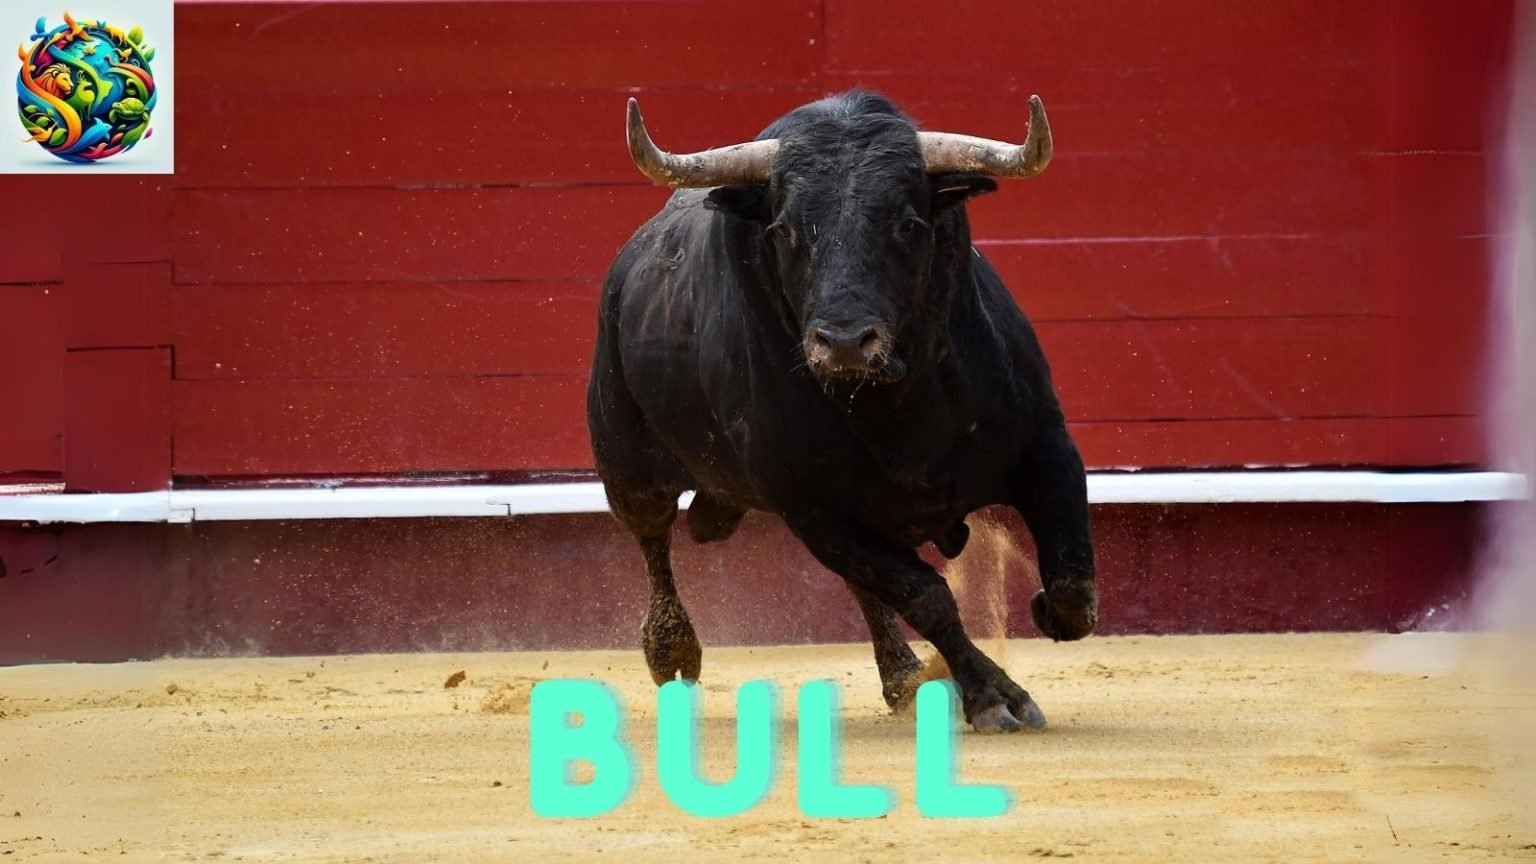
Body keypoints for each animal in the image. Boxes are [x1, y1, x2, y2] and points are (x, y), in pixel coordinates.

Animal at [587, 90, 1097, 732]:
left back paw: (903, 676)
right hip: (628, 466)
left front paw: (1045, 613)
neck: (896, 404)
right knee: (653, 538)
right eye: (783, 229)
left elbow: (1071, 578)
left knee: (861, 587)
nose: (846, 342)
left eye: (909, 224)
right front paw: (993, 695)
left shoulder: (1047, 445)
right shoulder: (812, 507)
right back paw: (673, 652)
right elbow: (926, 595)